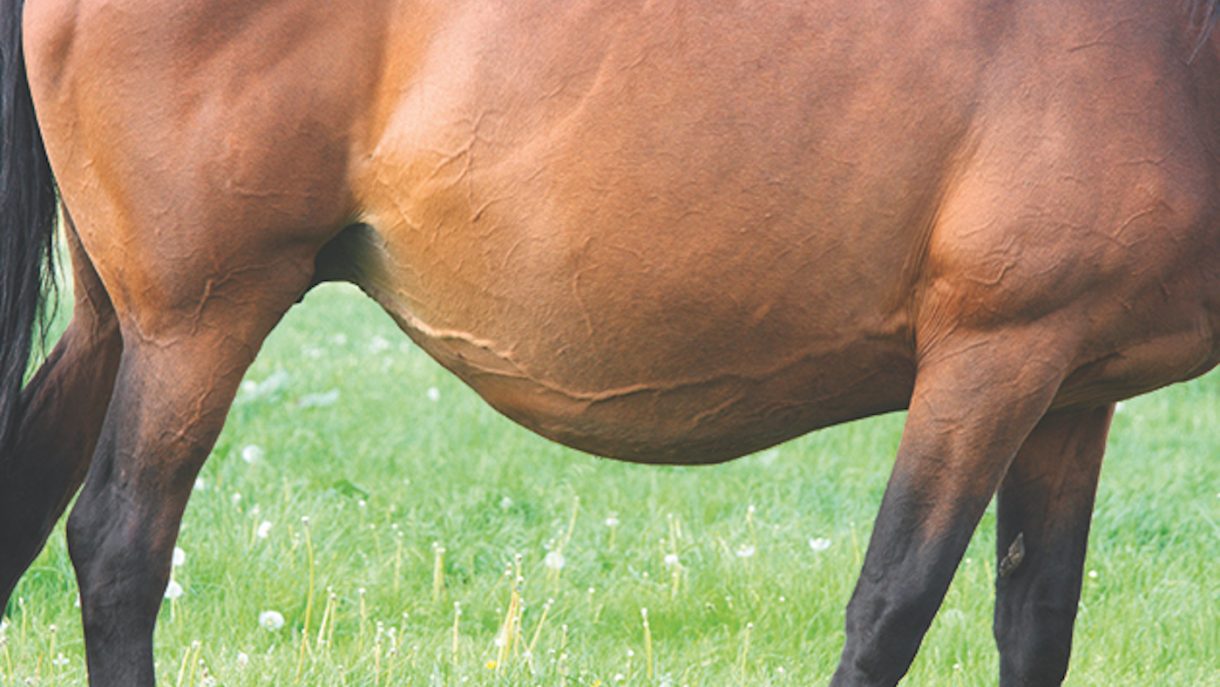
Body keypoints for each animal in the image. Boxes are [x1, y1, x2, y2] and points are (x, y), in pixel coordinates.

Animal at [1, 0, 1217, 684]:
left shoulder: (1068, 386)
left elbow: (1035, 620)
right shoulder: (988, 361)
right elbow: (892, 604)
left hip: (123, 327)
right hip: (200, 320)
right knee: (118, 548)